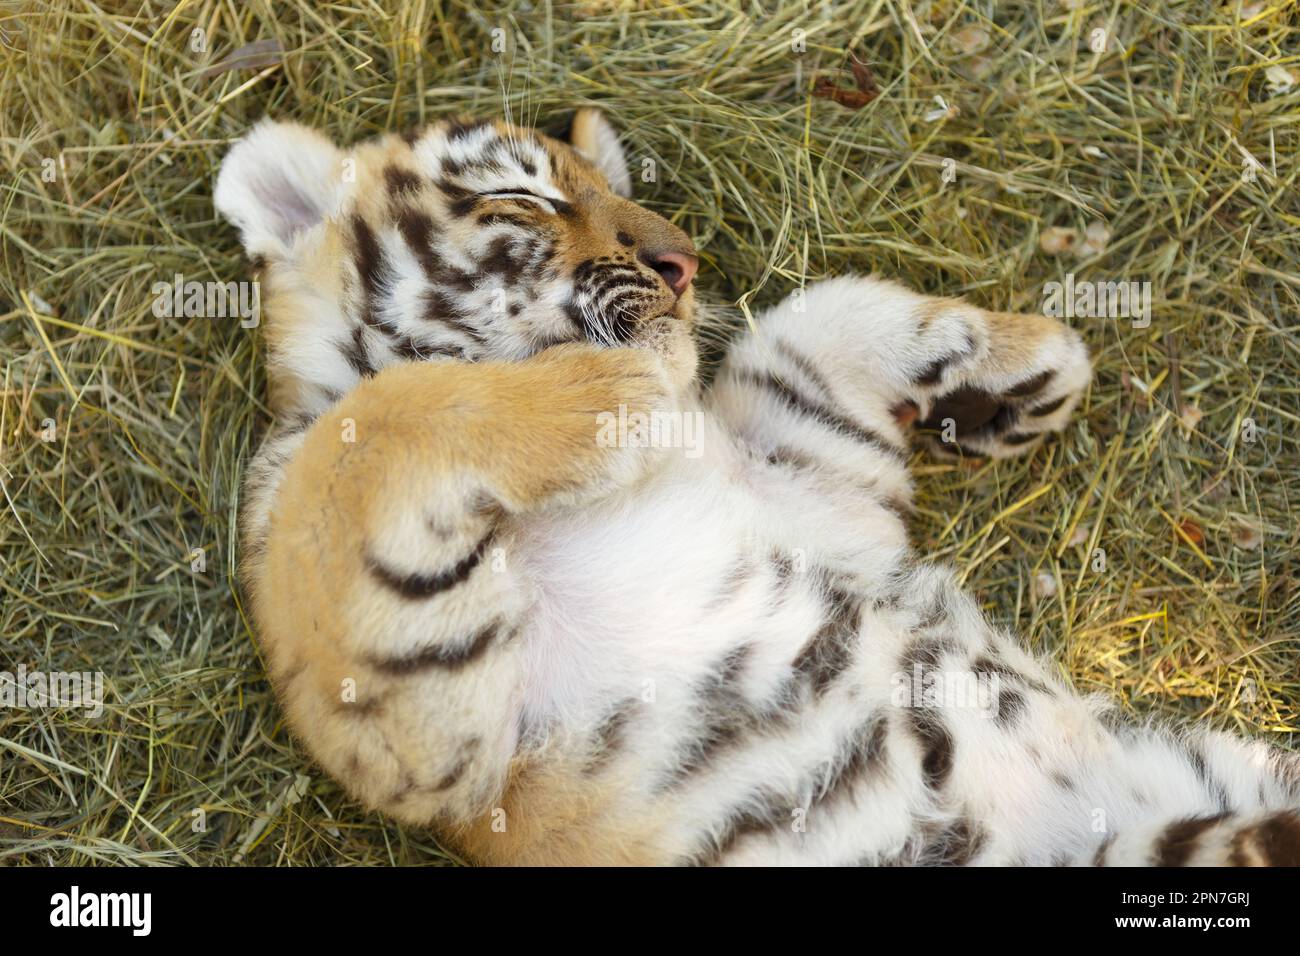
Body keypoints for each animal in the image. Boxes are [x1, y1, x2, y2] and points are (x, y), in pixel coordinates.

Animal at [215, 108, 1300, 866]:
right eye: (525, 200)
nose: (682, 262)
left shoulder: (827, 495)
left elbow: (818, 319)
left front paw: (1026, 371)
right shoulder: (428, 737)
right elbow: (378, 423)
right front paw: (604, 393)